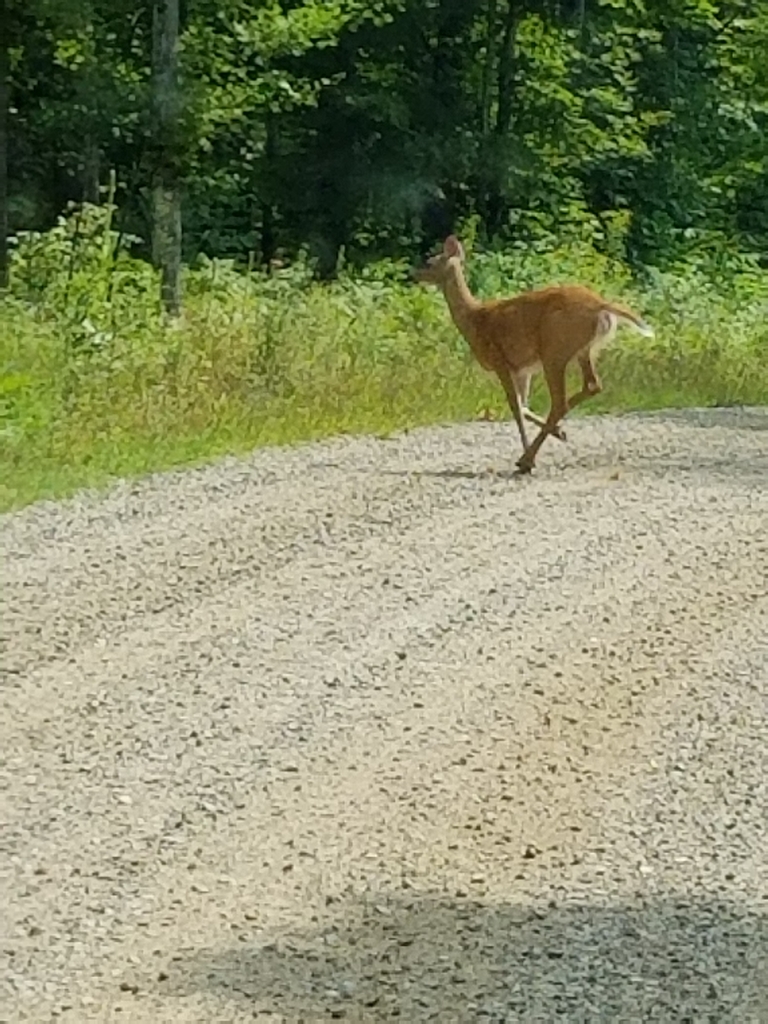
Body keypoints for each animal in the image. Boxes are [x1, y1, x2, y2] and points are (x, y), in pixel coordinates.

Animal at [413, 235, 654, 473]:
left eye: (430, 262)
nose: (414, 274)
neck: (474, 319)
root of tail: (601, 304)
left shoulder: (501, 362)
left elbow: (515, 407)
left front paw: (534, 450)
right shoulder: (523, 369)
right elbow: (524, 405)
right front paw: (560, 433)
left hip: (554, 349)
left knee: (560, 401)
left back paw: (526, 460)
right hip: (584, 350)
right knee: (592, 385)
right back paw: (550, 435)